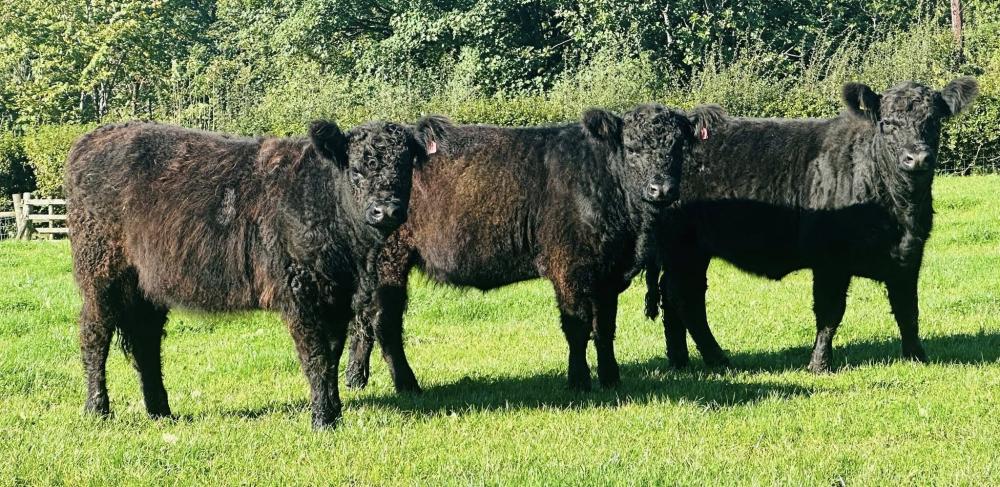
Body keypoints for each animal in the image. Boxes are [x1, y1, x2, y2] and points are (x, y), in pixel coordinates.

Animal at [66, 118, 436, 429]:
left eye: (404, 168)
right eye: (357, 170)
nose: (386, 210)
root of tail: (94, 138)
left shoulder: (337, 298)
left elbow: (331, 355)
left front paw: (333, 411)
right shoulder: (300, 291)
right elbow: (315, 357)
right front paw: (323, 419)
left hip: (146, 286)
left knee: (145, 341)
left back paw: (161, 412)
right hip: (100, 271)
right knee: (94, 334)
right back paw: (97, 409)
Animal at [345, 104, 723, 393]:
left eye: (679, 147)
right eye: (632, 148)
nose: (662, 189)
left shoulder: (608, 273)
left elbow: (604, 328)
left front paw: (611, 378)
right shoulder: (568, 266)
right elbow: (577, 326)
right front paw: (579, 382)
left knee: (363, 319)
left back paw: (355, 379)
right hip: (390, 261)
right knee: (384, 322)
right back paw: (407, 384)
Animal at [644, 78, 979, 372]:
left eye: (934, 121)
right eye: (887, 124)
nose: (917, 158)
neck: (898, 208)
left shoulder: (910, 255)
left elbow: (908, 309)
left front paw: (916, 357)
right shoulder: (831, 261)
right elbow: (830, 312)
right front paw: (820, 364)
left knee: (672, 298)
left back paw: (680, 361)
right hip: (684, 248)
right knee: (686, 298)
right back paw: (717, 359)